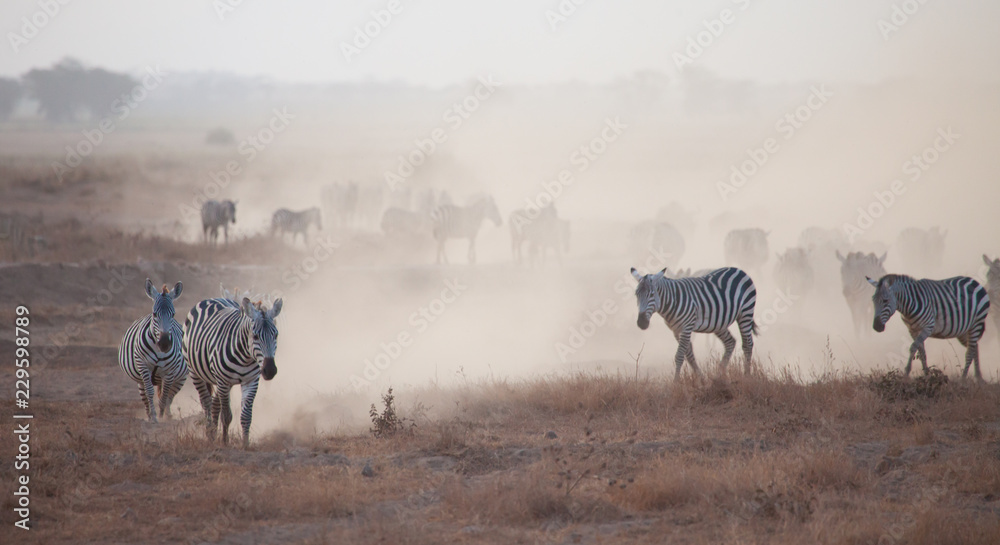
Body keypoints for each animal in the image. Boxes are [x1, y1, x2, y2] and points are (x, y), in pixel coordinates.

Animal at [118, 279, 187, 423]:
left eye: (173, 314)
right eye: (155, 314)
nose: (165, 344)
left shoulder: (170, 371)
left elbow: (165, 395)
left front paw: (161, 416)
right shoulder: (144, 366)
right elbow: (150, 392)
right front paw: (154, 417)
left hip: (181, 378)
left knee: (170, 396)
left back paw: (168, 414)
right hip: (140, 379)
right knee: (144, 395)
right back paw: (149, 415)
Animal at [182, 291, 283, 446]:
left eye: (276, 335)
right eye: (255, 336)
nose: (270, 370)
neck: (245, 358)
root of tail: (212, 299)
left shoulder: (251, 381)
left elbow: (246, 416)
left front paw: (245, 444)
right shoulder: (223, 382)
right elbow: (227, 416)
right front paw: (225, 442)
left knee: (215, 404)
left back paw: (214, 432)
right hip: (195, 373)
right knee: (206, 402)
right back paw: (209, 432)